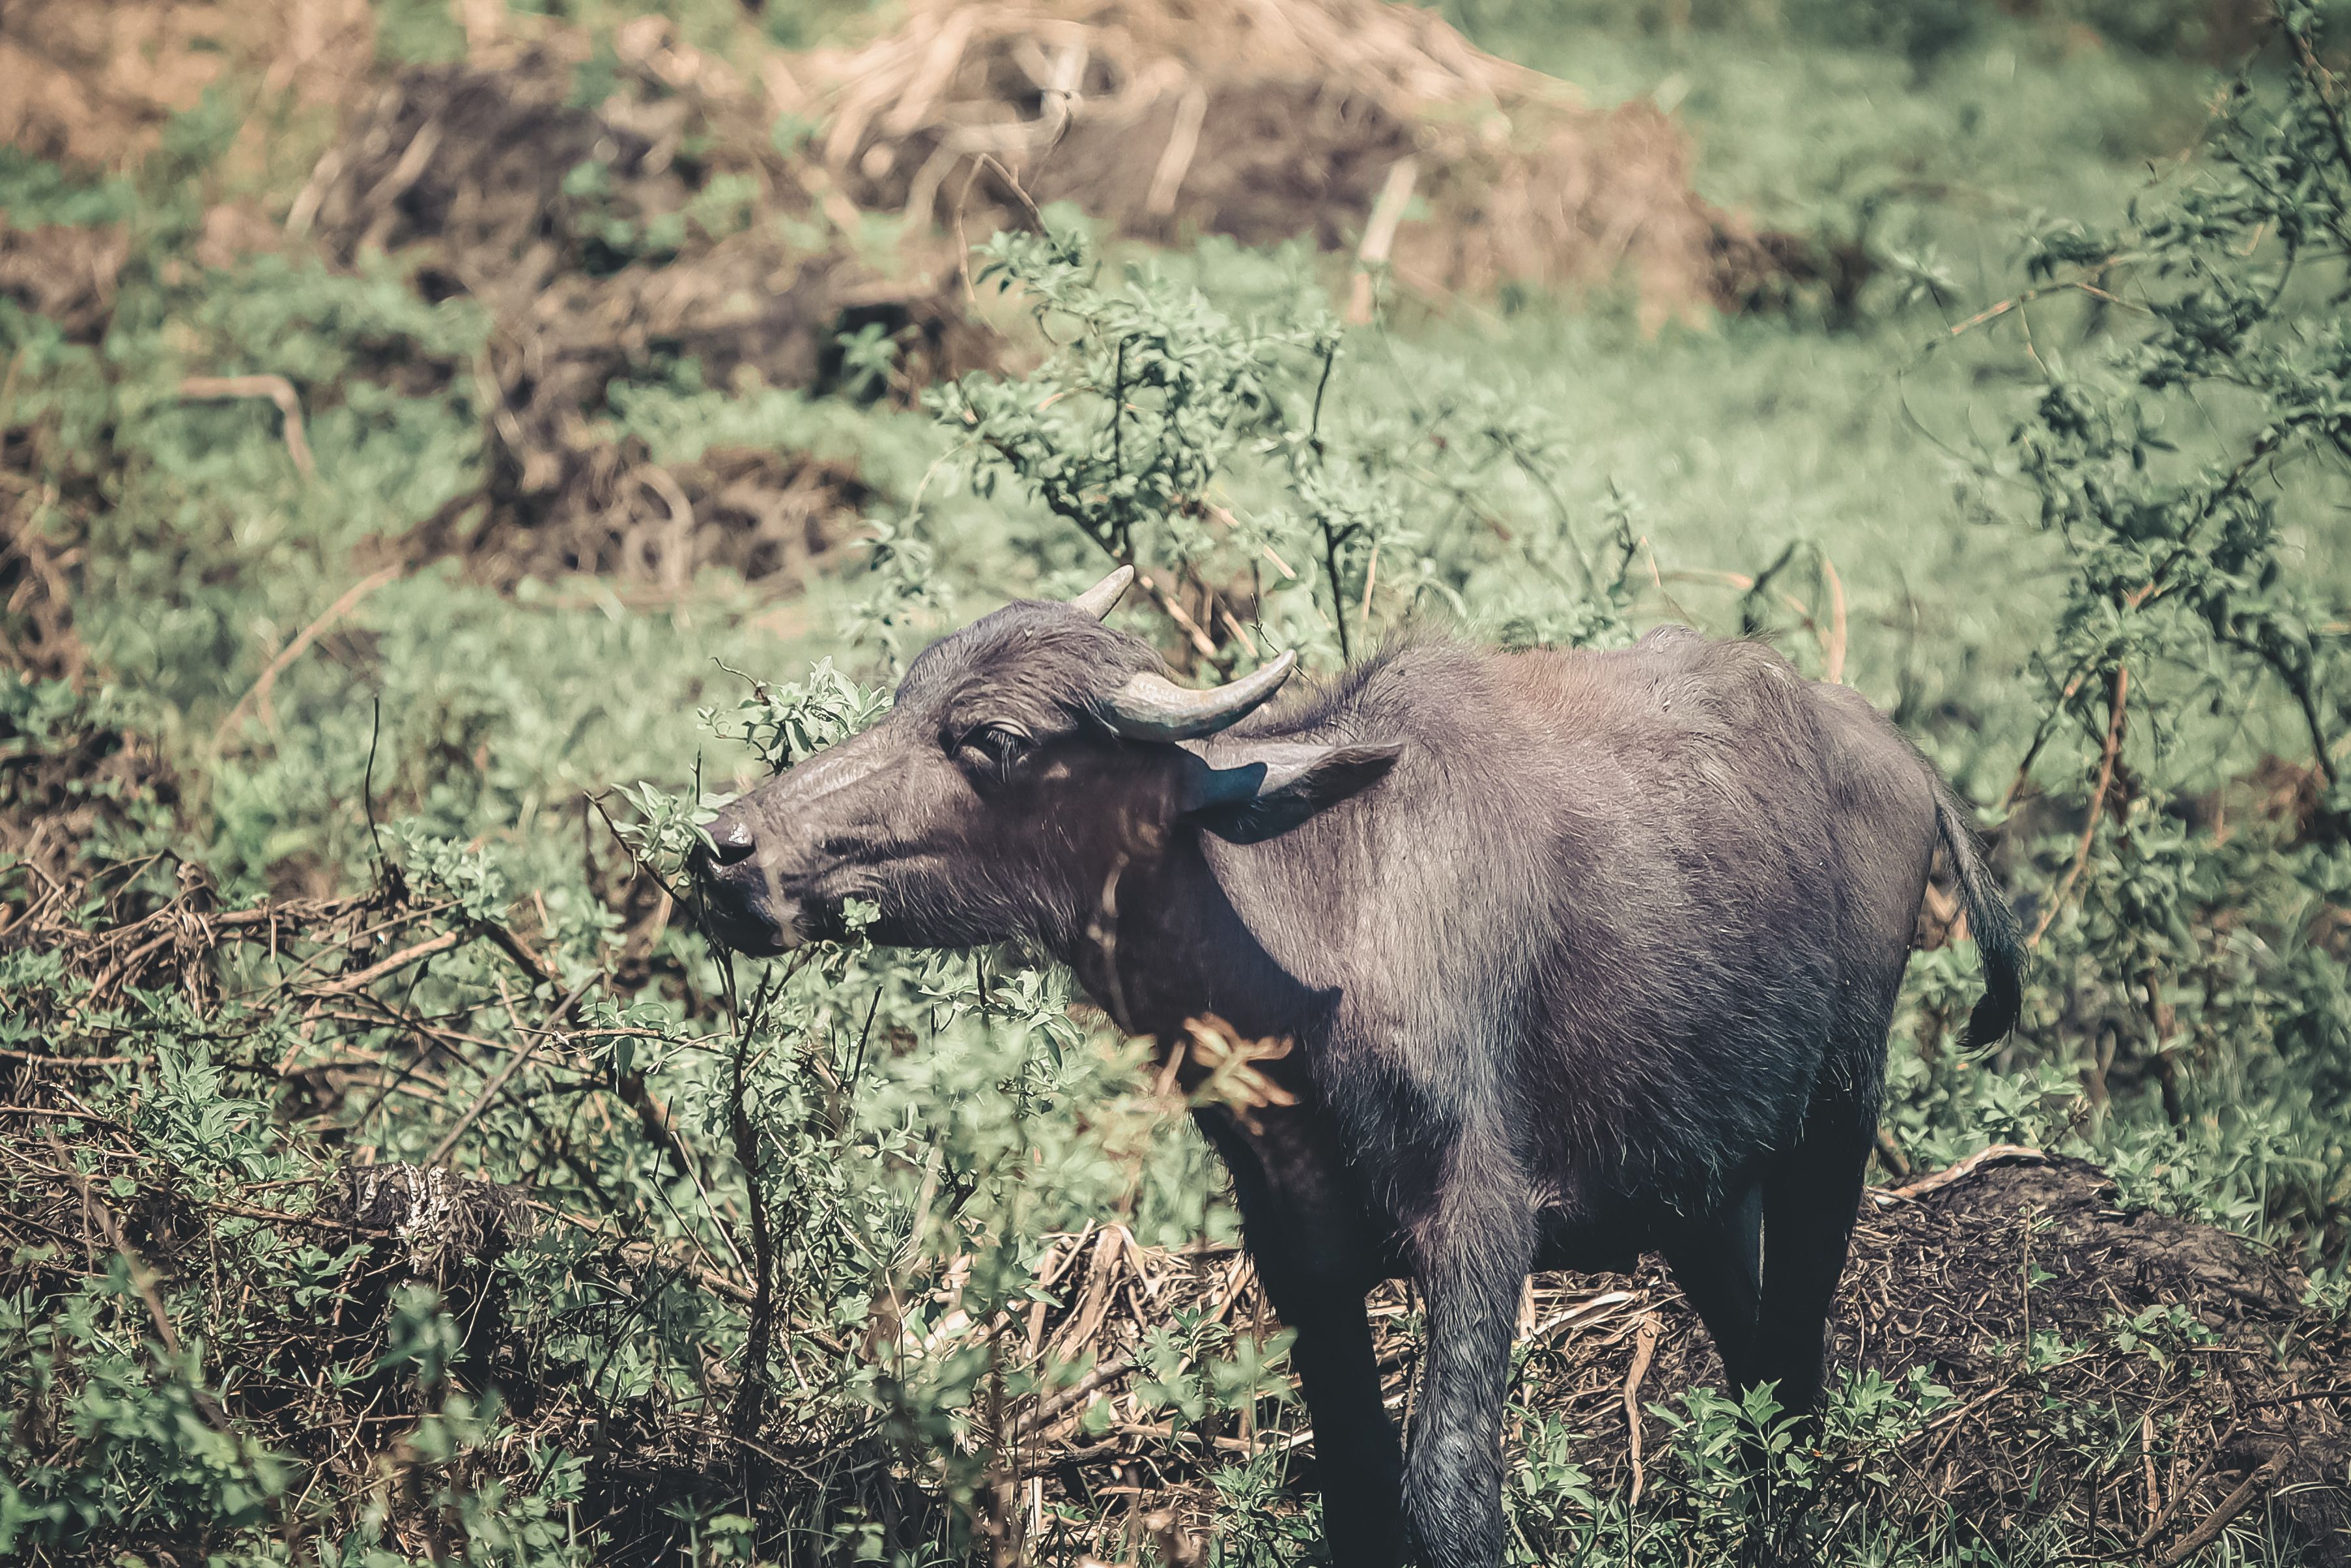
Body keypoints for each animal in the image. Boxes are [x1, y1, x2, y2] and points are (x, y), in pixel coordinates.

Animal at [693, 566, 2021, 1568]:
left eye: (995, 740)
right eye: (907, 695)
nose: (725, 848)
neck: (1305, 933)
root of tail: (1900, 757)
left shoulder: (1484, 1219)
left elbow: (1446, 1493)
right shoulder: (1301, 1255)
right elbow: (1355, 1494)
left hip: (1835, 1120)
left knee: (1794, 1363)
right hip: (1701, 1188)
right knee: (1753, 1374)